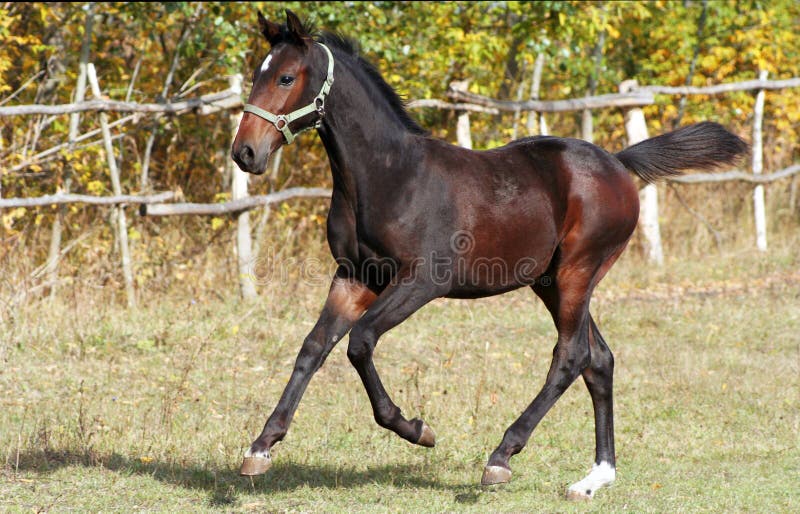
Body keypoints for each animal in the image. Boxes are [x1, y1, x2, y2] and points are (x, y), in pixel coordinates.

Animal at [231, 9, 747, 499]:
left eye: (285, 77)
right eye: (257, 74)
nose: (245, 153)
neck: (390, 175)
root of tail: (619, 164)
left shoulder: (421, 282)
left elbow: (360, 342)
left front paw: (417, 429)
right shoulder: (354, 277)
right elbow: (313, 347)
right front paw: (260, 448)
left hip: (578, 272)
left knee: (572, 355)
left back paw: (501, 456)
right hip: (549, 281)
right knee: (599, 360)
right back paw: (593, 479)